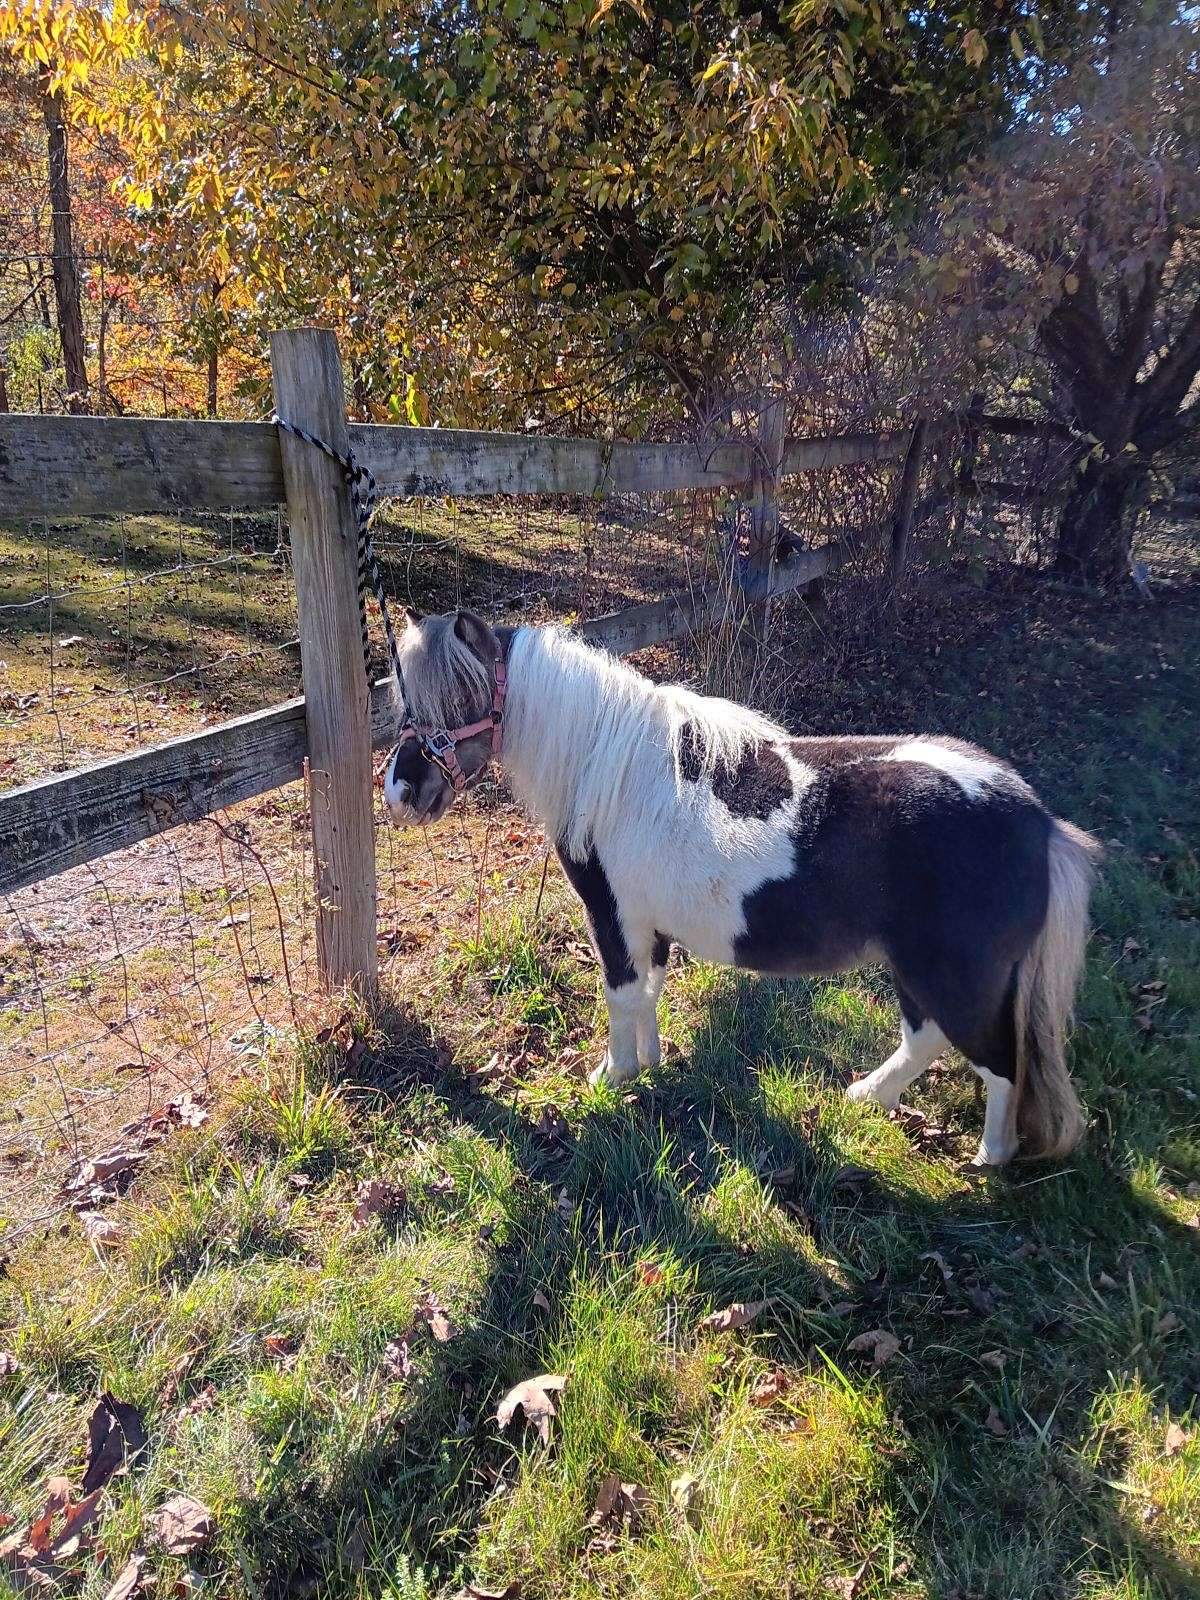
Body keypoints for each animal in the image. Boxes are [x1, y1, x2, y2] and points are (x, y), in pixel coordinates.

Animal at [382, 608, 1101, 1166]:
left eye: (458, 701)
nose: (400, 791)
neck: (612, 769)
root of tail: (1038, 822)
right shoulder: (650, 926)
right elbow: (650, 991)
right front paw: (651, 1064)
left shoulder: (613, 918)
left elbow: (622, 995)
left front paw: (612, 1077)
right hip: (918, 969)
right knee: (927, 1039)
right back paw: (866, 1097)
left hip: (953, 975)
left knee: (998, 1061)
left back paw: (989, 1156)